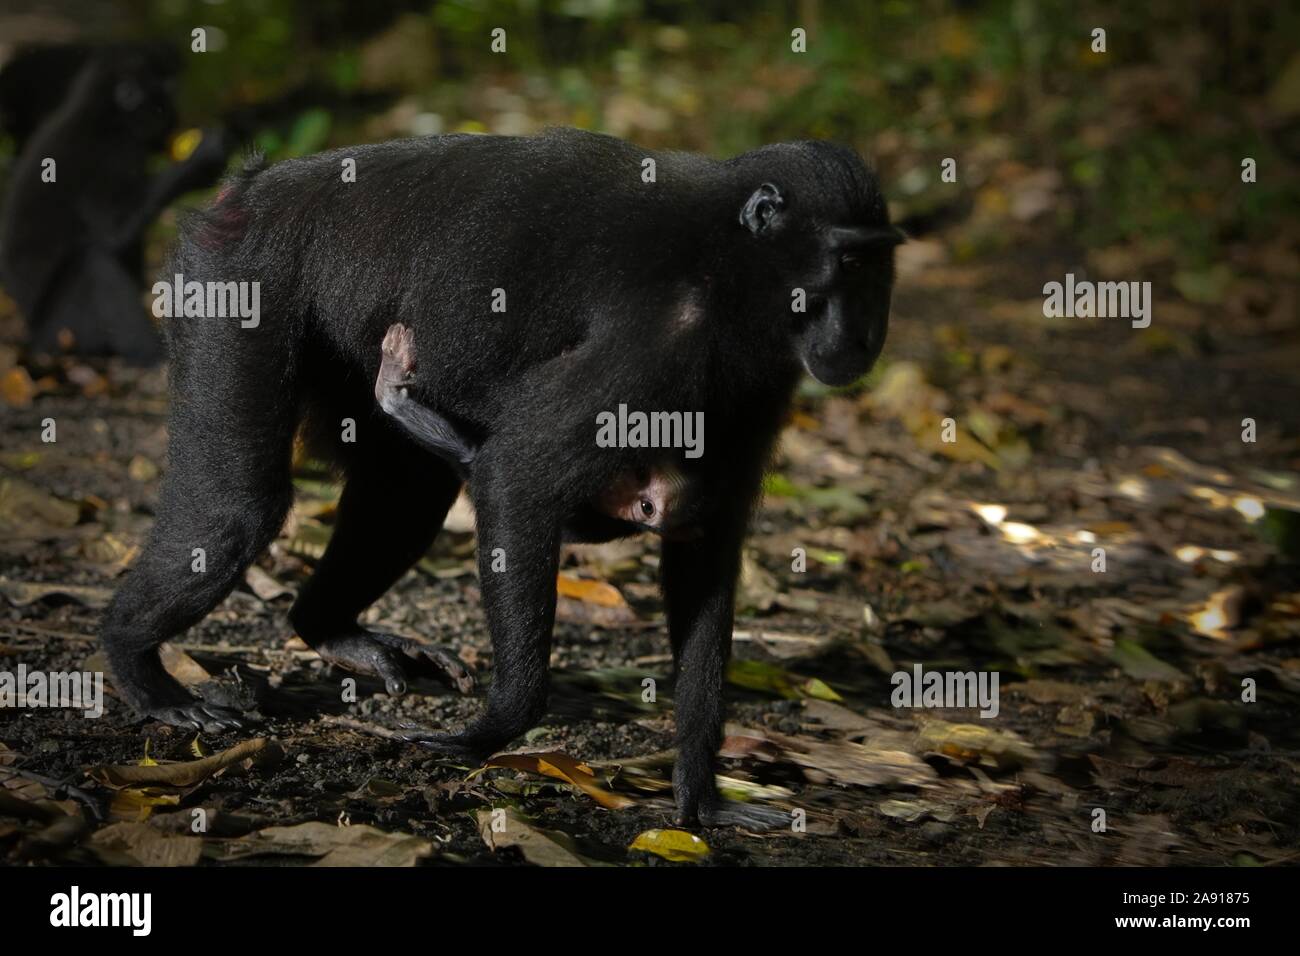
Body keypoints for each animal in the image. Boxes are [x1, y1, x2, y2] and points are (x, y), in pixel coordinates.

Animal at [0, 48, 228, 363]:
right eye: (160, 108)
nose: (174, 121)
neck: (105, 118)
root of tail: (33, 339)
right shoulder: (113, 158)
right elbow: (114, 234)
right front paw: (200, 162)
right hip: (65, 330)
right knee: (96, 264)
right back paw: (154, 354)